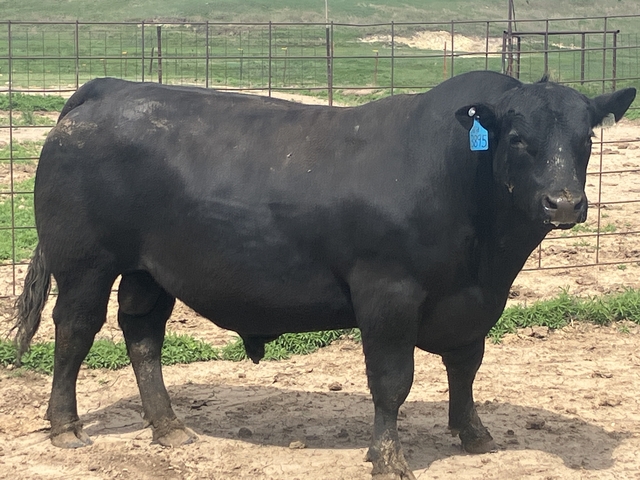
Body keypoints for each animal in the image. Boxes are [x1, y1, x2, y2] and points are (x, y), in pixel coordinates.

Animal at [14, 71, 635, 479]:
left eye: (585, 139)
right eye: (518, 138)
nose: (564, 203)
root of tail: (108, 89)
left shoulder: (474, 300)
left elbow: (465, 366)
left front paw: (474, 434)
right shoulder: (387, 292)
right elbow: (392, 379)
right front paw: (388, 457)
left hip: (150, 271)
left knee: (143, 334)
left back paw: (168, 427)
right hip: (86, 264)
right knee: (74, 332)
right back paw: (66, 427)